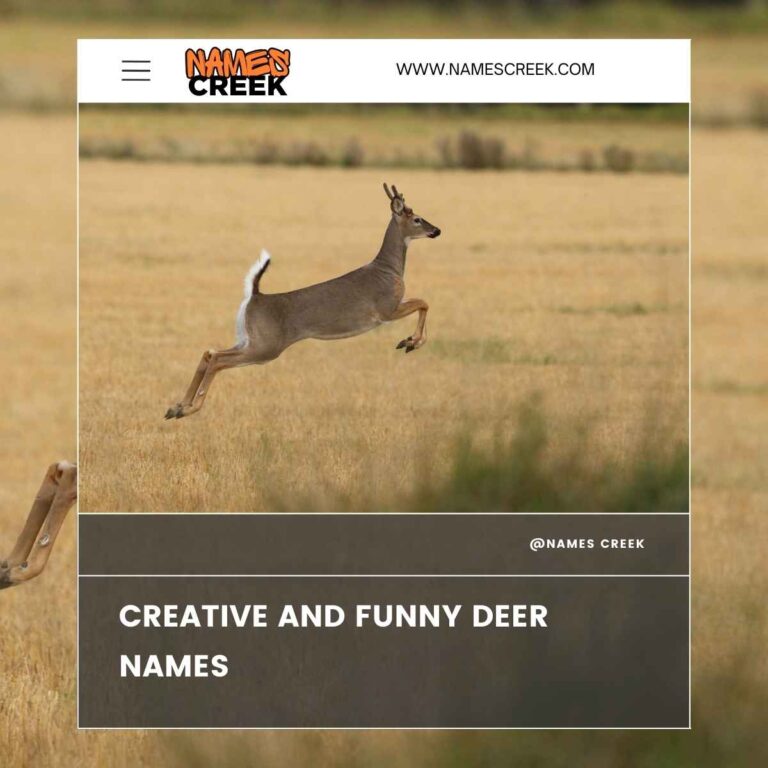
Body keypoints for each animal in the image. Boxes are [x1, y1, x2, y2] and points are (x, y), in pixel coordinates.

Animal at [164, 183, 441, 419]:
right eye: (417, 219)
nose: (436, 230)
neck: (388, 269)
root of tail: (254, 296)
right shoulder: (386, 309)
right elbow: (424, 301)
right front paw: (410, 342)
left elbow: (424, 303)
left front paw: (410, 342)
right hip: (266, 346)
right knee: (218, 360)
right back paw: (188, 409)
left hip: (248, 339)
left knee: (209, 352)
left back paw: (176, 407)